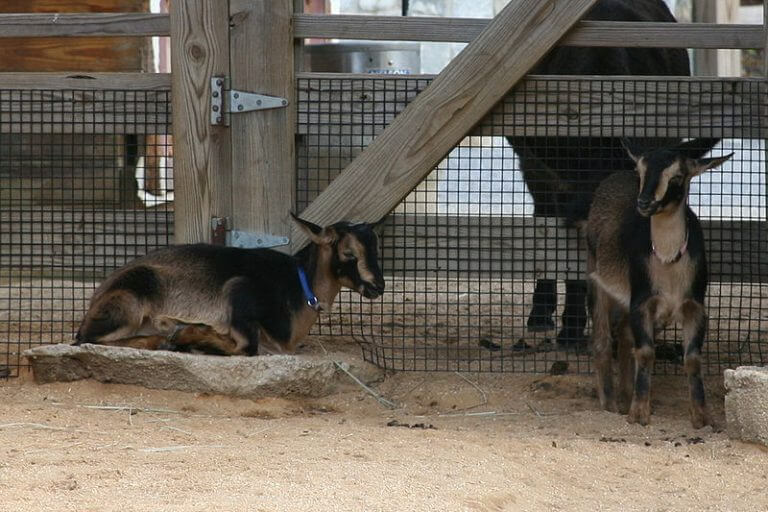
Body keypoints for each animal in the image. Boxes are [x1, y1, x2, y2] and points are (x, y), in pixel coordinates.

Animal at [74, 214, 385, 356]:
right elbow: (246, 346)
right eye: (349, 253)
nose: (378, 286)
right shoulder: (240, 294)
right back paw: (165, 336)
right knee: (86, 339)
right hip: (129, 305)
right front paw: (188, 334)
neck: (298, 286)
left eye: (376, 248)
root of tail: (99, 294)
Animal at [584, 138, 732, 428]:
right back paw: (609, 405)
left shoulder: (694, 305)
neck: (668, 263)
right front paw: (639, 414)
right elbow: (645, 351)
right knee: (603, 340)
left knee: (624, 335)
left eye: (677, 177)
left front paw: (703, 417)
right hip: (596, 277)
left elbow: (692, 358)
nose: (643, 202)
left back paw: (625, 396)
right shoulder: (642, 299)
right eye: (641, 172)